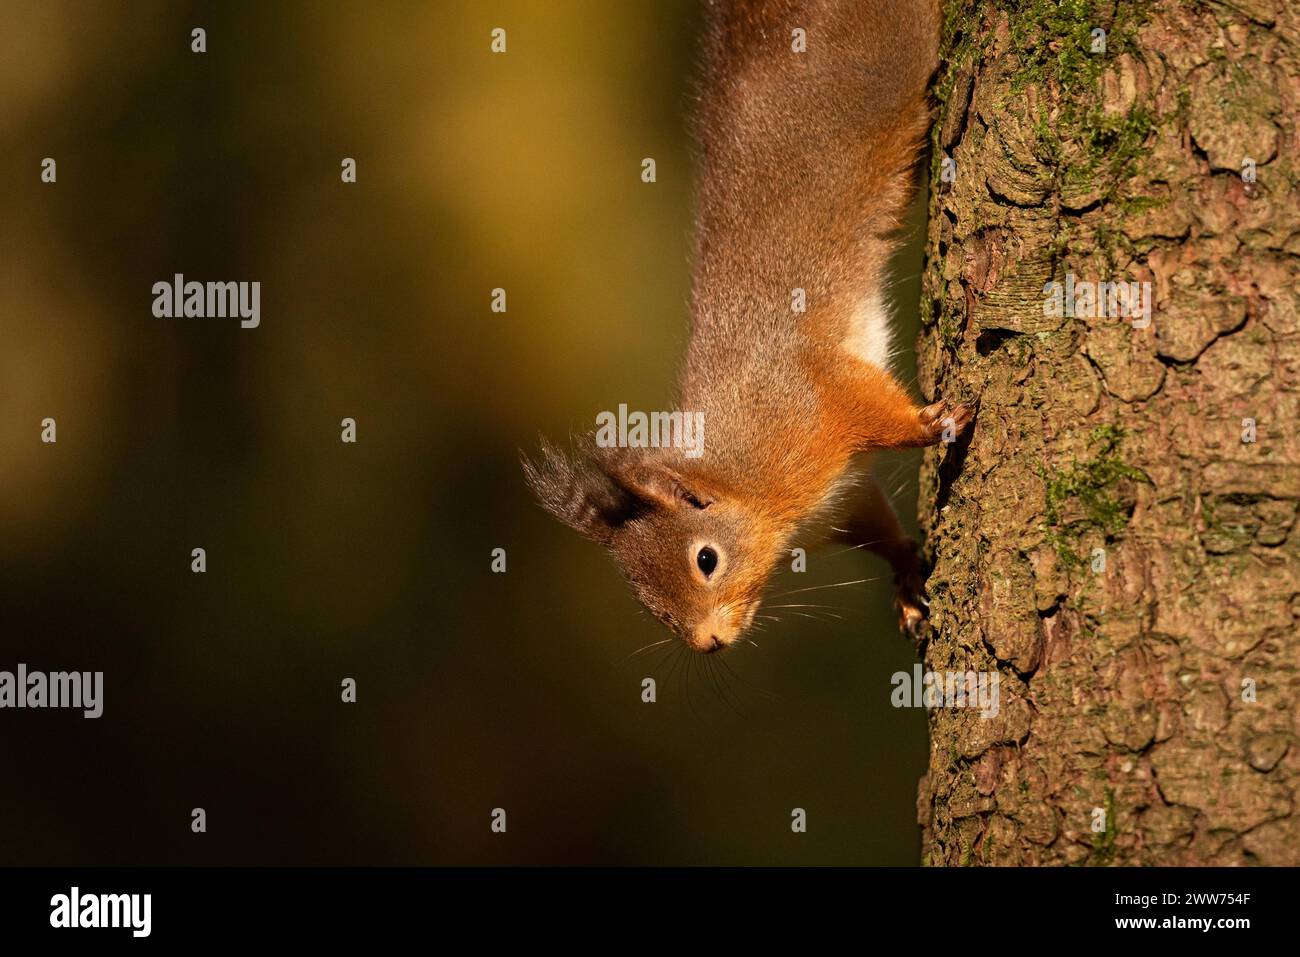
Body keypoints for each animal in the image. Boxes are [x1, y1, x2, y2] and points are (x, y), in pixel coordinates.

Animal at [524, 0, 974, 654]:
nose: (709, 643)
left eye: (706, 559)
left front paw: (930, 423)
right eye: (648, 606)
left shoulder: (808, 394)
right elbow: (876, 525)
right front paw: (907, 577)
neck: (746, 480)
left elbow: (867, 406)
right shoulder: (842, 500)